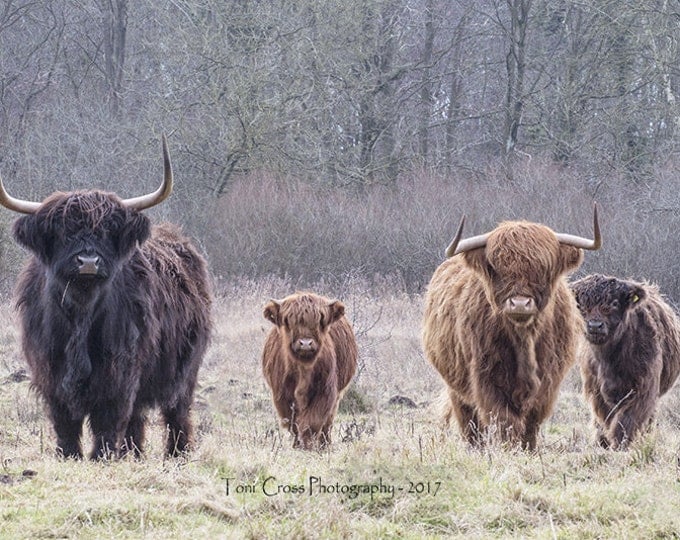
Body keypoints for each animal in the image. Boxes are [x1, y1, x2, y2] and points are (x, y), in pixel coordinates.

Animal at [0, 136, 212, 460]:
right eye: (63, 231)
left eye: (107, 230)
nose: (88, 261)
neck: (81, 310)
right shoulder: (50, 370)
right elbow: (65, 422)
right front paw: (69, 455)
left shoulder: (119, 370)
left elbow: (109, 418)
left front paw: (102, 456)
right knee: (137, 418)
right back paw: (132, 454)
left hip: (185, 368)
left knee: (177, 412)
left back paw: (177, 454)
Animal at [261, 292, 358, 449]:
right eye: (288, 321)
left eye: (320, 321)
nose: (305, 343)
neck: (303, 370)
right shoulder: (282, 395)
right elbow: (293, 422)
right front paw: (297, 444)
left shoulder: (325, 391)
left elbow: (313, 421)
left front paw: (308, 445)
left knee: (327, 423)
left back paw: (325, 444)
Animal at [422, 207, 601, 450]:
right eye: (496, 268)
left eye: (543, 268)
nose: (519, 303)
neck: (524, 338)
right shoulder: (486, 378)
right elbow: (504, 419)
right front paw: (509, 448)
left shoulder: (548, 382)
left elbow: (532, 421)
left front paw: (528, 449)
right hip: (455, 383)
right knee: (469, 422)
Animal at [571, 274, 680, 449]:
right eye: (579, 305)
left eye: (614, 303)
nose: (594, 325)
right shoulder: (597, 390)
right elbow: (606, 416)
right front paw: (606, 442)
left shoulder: (643, 387)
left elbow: (628, 418)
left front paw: (621, 443)